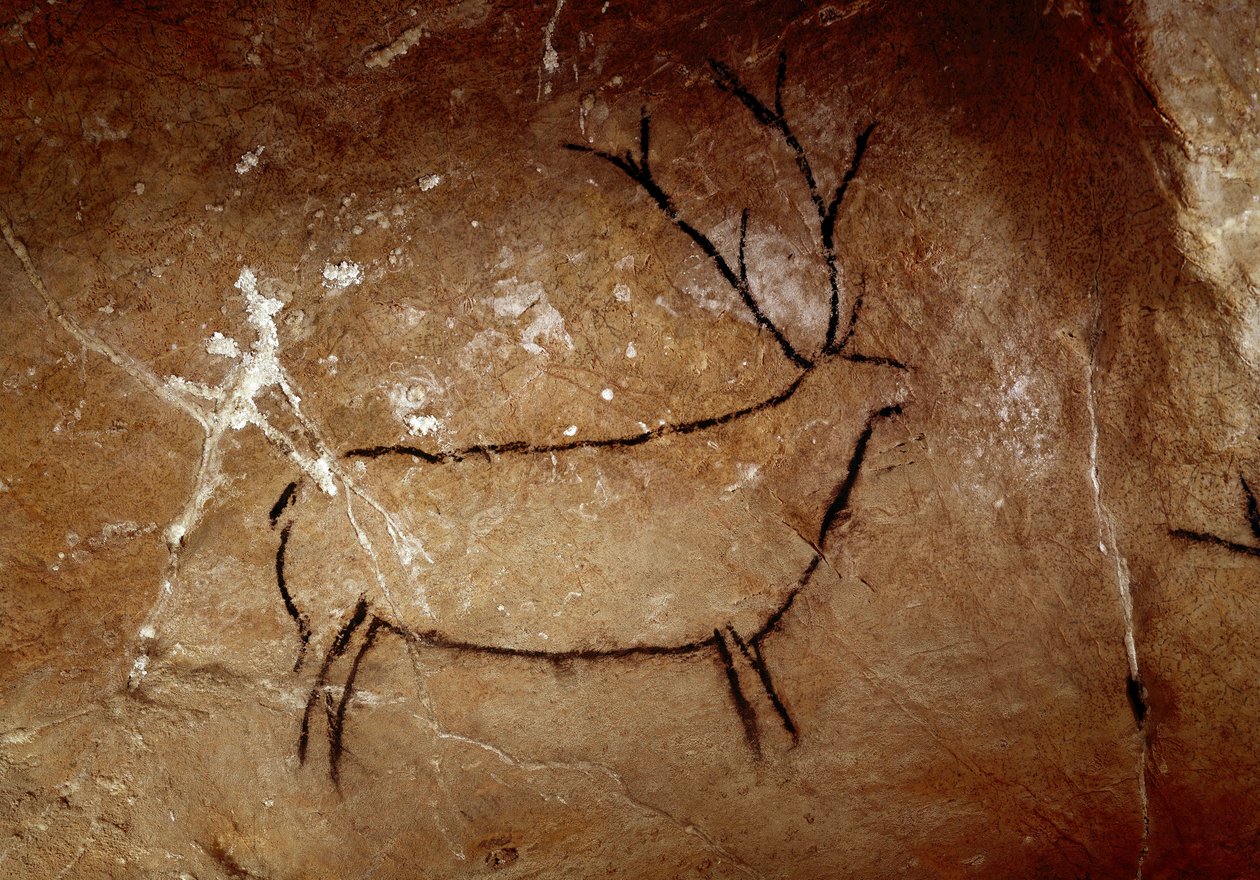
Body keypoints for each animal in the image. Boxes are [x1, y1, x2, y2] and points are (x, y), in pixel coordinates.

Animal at [270, 51, 909, 785]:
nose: (909, 378)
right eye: (861, 359)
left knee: (336, 698)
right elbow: (763, 723)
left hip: (364, 616)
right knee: (301, 698)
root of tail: (292, 497)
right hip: (328, 609)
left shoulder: (731, 630)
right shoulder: (733, 624)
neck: (790, 486)